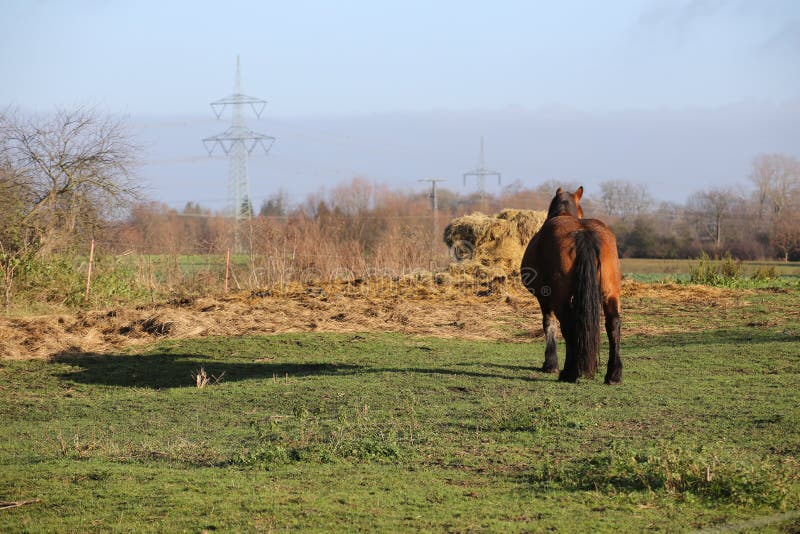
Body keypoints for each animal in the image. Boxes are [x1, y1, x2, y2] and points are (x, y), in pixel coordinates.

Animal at [520, 186, 622, 384]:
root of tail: (583, 232)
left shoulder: (544, 298)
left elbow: (549, 324)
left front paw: (550, 364)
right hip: (610, 293)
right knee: (613, 324)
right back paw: (613, 374)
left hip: (560, 297)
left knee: (568, 326)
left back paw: (570, 371)